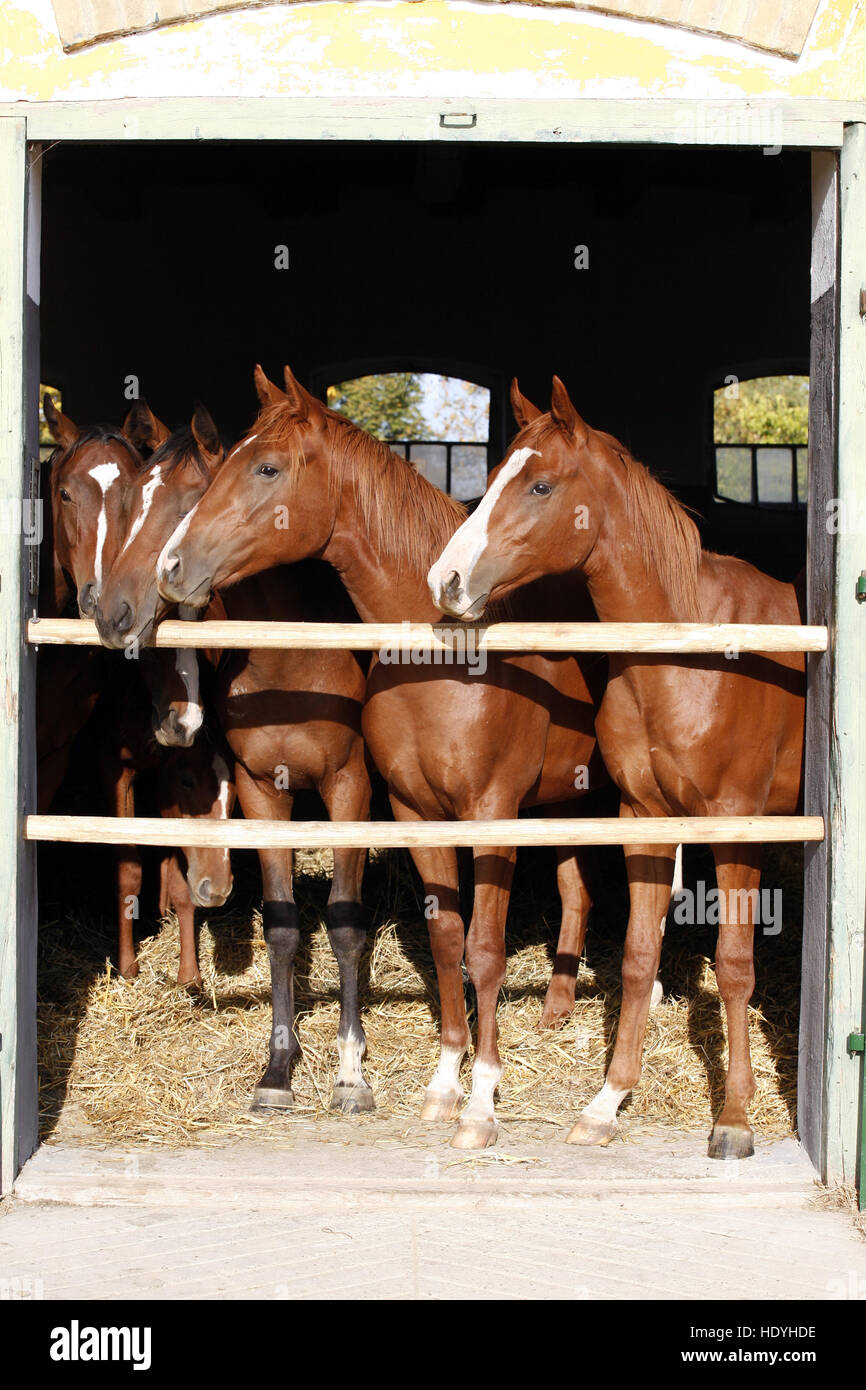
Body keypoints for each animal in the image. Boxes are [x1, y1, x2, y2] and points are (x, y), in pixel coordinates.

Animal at [95, 396, 374, 1113]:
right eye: (132, 498)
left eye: (188, 499)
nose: (112, 612)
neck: (291, 659)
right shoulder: (260, 791)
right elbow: (281, 925)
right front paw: (278, 1070)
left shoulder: (349, 786)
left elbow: (345, 923)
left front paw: (351, 1073)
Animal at [154, 365, 613, 1149]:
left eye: (266, 467)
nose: (172, 566)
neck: (447, 659)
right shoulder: (410, 811)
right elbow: (444, 937)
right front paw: (439, 1086)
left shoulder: (481, 814)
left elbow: (484, 951)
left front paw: (480, 1102)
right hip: (565, 801)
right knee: (577, 891)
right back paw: (556, 1008)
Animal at [428, 375, 806, 1160]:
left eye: (540, 484)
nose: (446, 580)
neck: (687, 652)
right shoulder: (645, 818)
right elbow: (637, 956)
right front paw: (606, 1103)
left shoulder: (736, 825)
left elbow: (734, 965)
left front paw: (734, 1118)